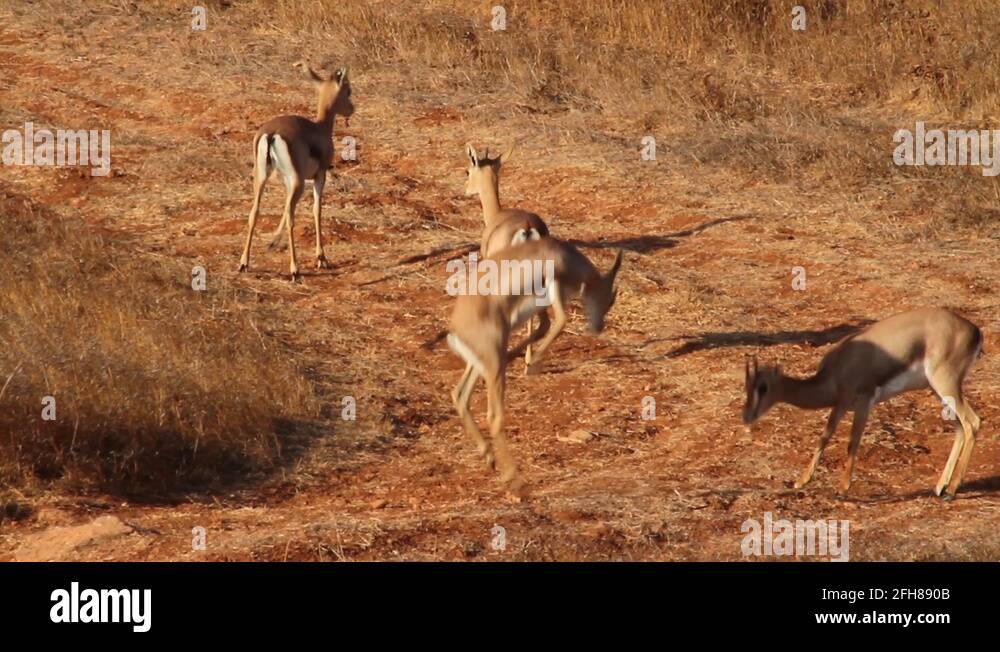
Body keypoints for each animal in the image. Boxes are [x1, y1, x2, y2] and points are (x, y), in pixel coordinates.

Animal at [238, 61, 354, 280]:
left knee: (254, 212)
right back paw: (295, 269)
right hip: (298, 181)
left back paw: (244, 263)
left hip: (262, 178)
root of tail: (271, 134)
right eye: (348, 90)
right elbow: (316, 210)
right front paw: (321, 258)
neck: (321, 128)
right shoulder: (319, 175)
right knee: (291, 216)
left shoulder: (287, 180)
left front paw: (273, 242)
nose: (352, 109)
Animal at [447, 236, 624, 496]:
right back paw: (513, 478)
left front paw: (525, 360)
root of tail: (455, 329)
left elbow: (545, 326)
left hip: (480, 366)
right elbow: (561, 322)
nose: (598, 327)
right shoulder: (555, 288)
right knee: (494, 416)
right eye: (608, 298)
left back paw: (488, 457)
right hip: (493, 369)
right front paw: (533, 365)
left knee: (460, 395)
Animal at [742, 307, 984, 499]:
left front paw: (842, 488)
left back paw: (951, 490)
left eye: (763, 387)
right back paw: (940, 487)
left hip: (945, 385)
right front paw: (801, 481)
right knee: (960, 429)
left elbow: (853, 441)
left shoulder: (863, 402)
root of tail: (974, 330)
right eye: (746, 385)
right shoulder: (840, 405)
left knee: (973, 422)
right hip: (938, 392)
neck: (836, 371)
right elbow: (824, 436)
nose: (746, 417)